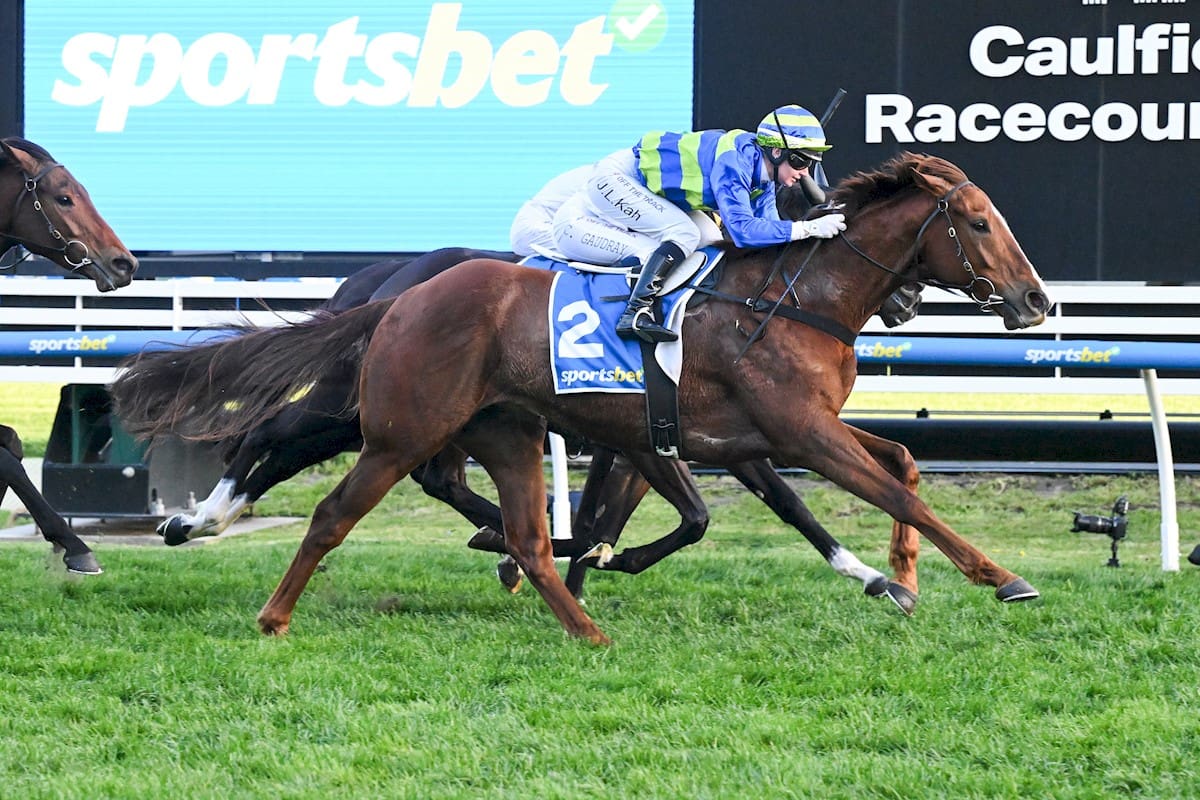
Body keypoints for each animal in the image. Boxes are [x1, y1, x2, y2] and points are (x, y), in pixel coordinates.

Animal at [112, 152, 1050, 643]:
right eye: (976, 222)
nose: (1037, 300)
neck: (786, 298)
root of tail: (391, 287)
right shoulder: (788, 433)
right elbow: (883, 489)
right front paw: (995, 577)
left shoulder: (727, 438)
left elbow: (897, 465)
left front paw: (896, 575)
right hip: (384, 416)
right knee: (287, 451)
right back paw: (208, 528)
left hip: (476, 424)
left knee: (450, 492)